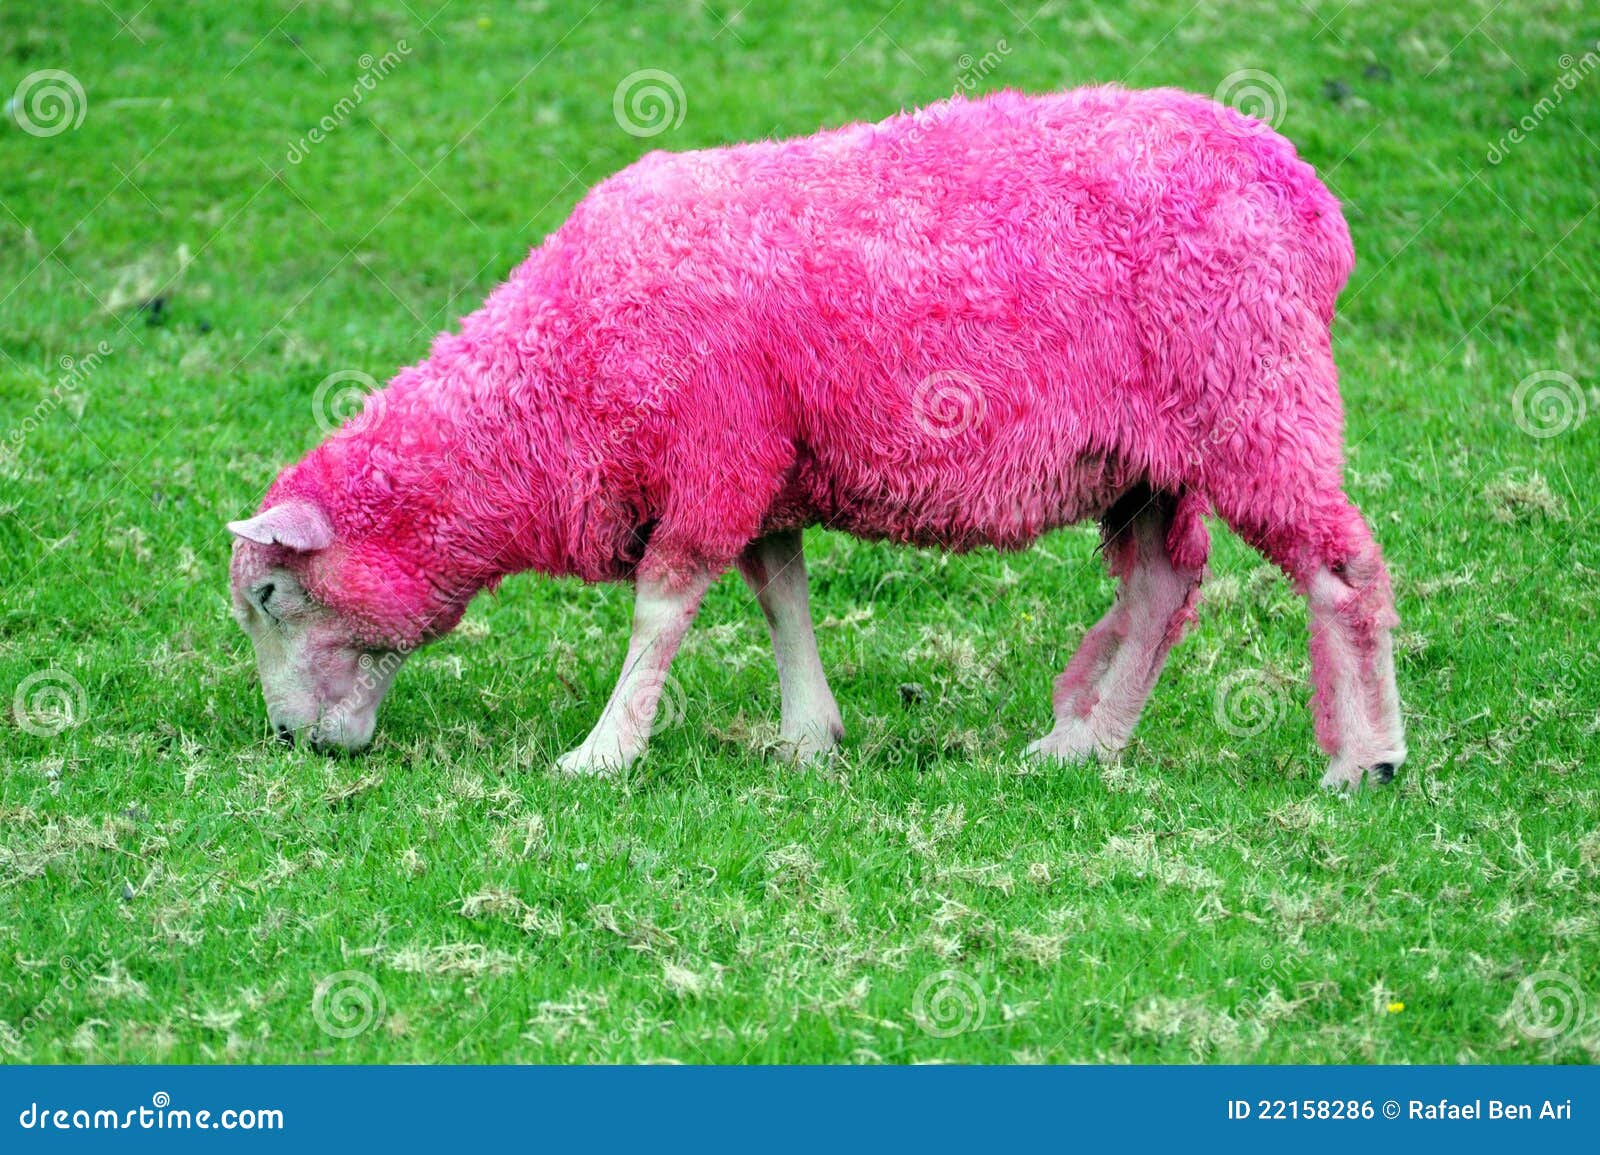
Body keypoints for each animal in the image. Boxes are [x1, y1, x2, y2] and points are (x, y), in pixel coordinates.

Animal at [228, 85, 1406, 789]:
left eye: (271, 596)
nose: (288, 742)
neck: (550, 380)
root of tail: (1302, 186)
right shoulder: (765, 463)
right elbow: (778, 591)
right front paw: (807, 734)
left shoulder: (715, 454)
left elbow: (663, 607)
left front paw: (604, 750)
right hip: (1158, 456)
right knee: (1162, 584)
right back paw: (1084, 741)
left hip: (1260, 402)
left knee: (1343, 569)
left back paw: (1367, 759)